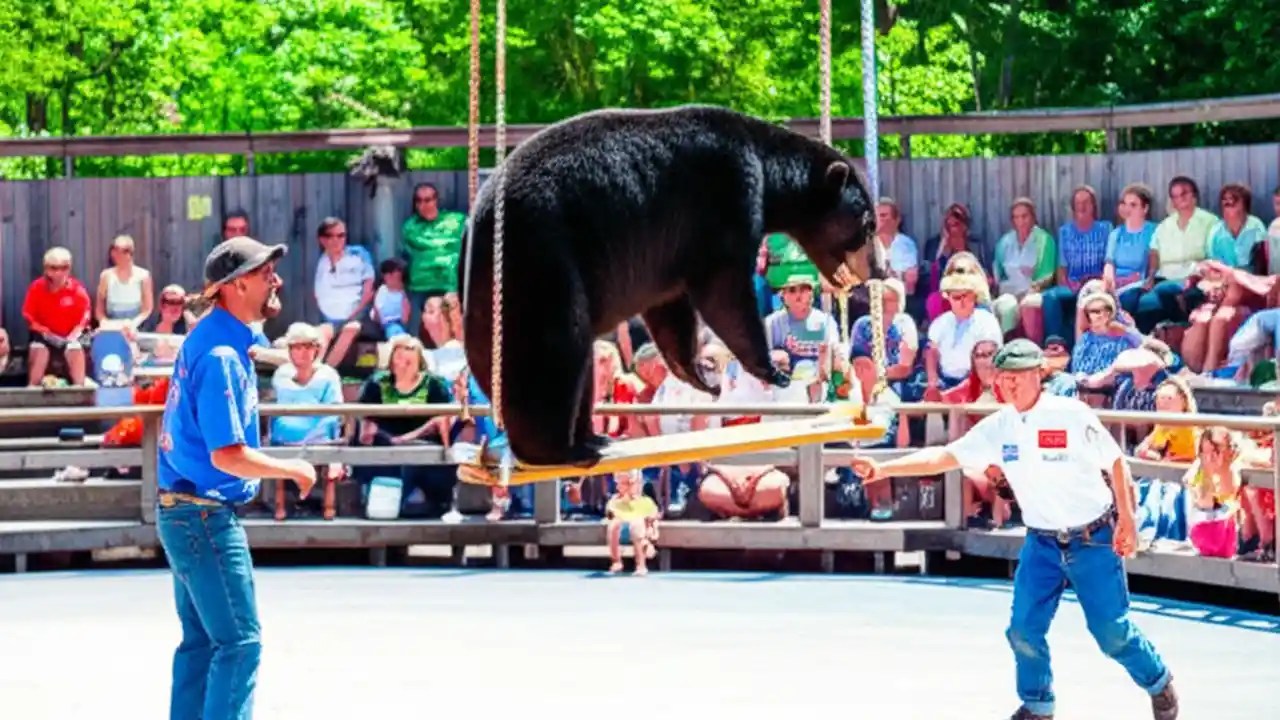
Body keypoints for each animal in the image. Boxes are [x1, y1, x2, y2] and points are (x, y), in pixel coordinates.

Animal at [459, 104, 881, 469]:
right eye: (868, 222)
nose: (879, 268)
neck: (766, 165)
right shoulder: (726, 195)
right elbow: (724, 290)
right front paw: (770, 369)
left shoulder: (666, 249)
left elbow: (671, 309)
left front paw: (701, 378)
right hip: (542, 263)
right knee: (556, 347)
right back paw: (560, 449)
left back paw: (592, 437)